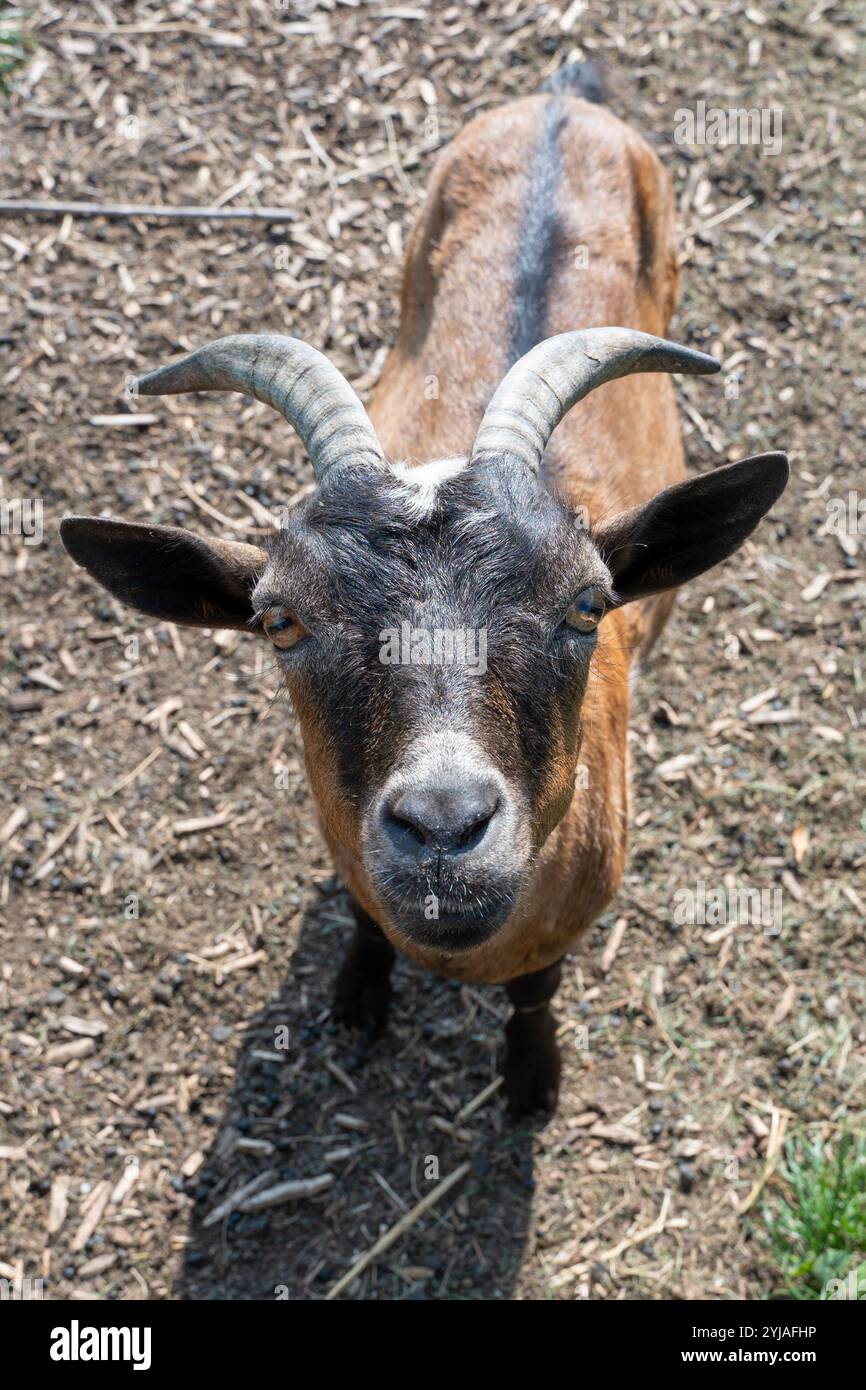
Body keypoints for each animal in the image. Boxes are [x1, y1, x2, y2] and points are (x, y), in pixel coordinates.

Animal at [61, 64, 788, 1117]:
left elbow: (536, 990)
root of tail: (565, 97)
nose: (444, 829)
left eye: (586, 604)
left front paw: (531, 1080)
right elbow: (367, 924)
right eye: (279, 620)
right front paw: (357, 999)